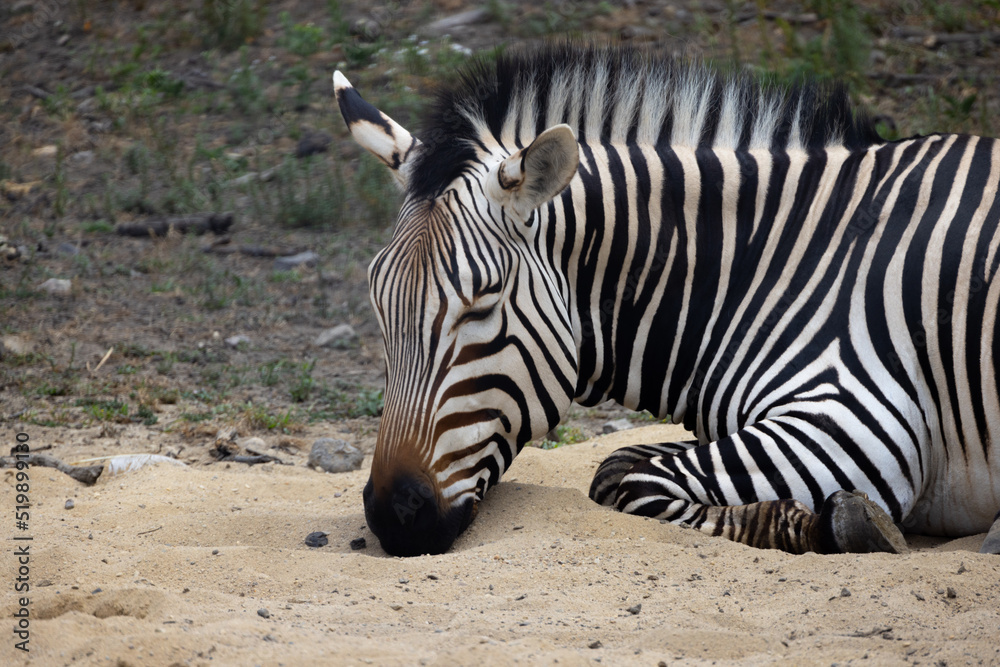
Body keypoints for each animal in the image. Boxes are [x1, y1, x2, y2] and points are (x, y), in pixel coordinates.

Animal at [332, 45, 1000, 557]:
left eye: (482, 305)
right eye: (379, 304)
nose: (394, 517)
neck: (774, 263)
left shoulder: (852, 412)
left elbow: (617, 470)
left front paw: (836, 527)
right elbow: (626, 467)